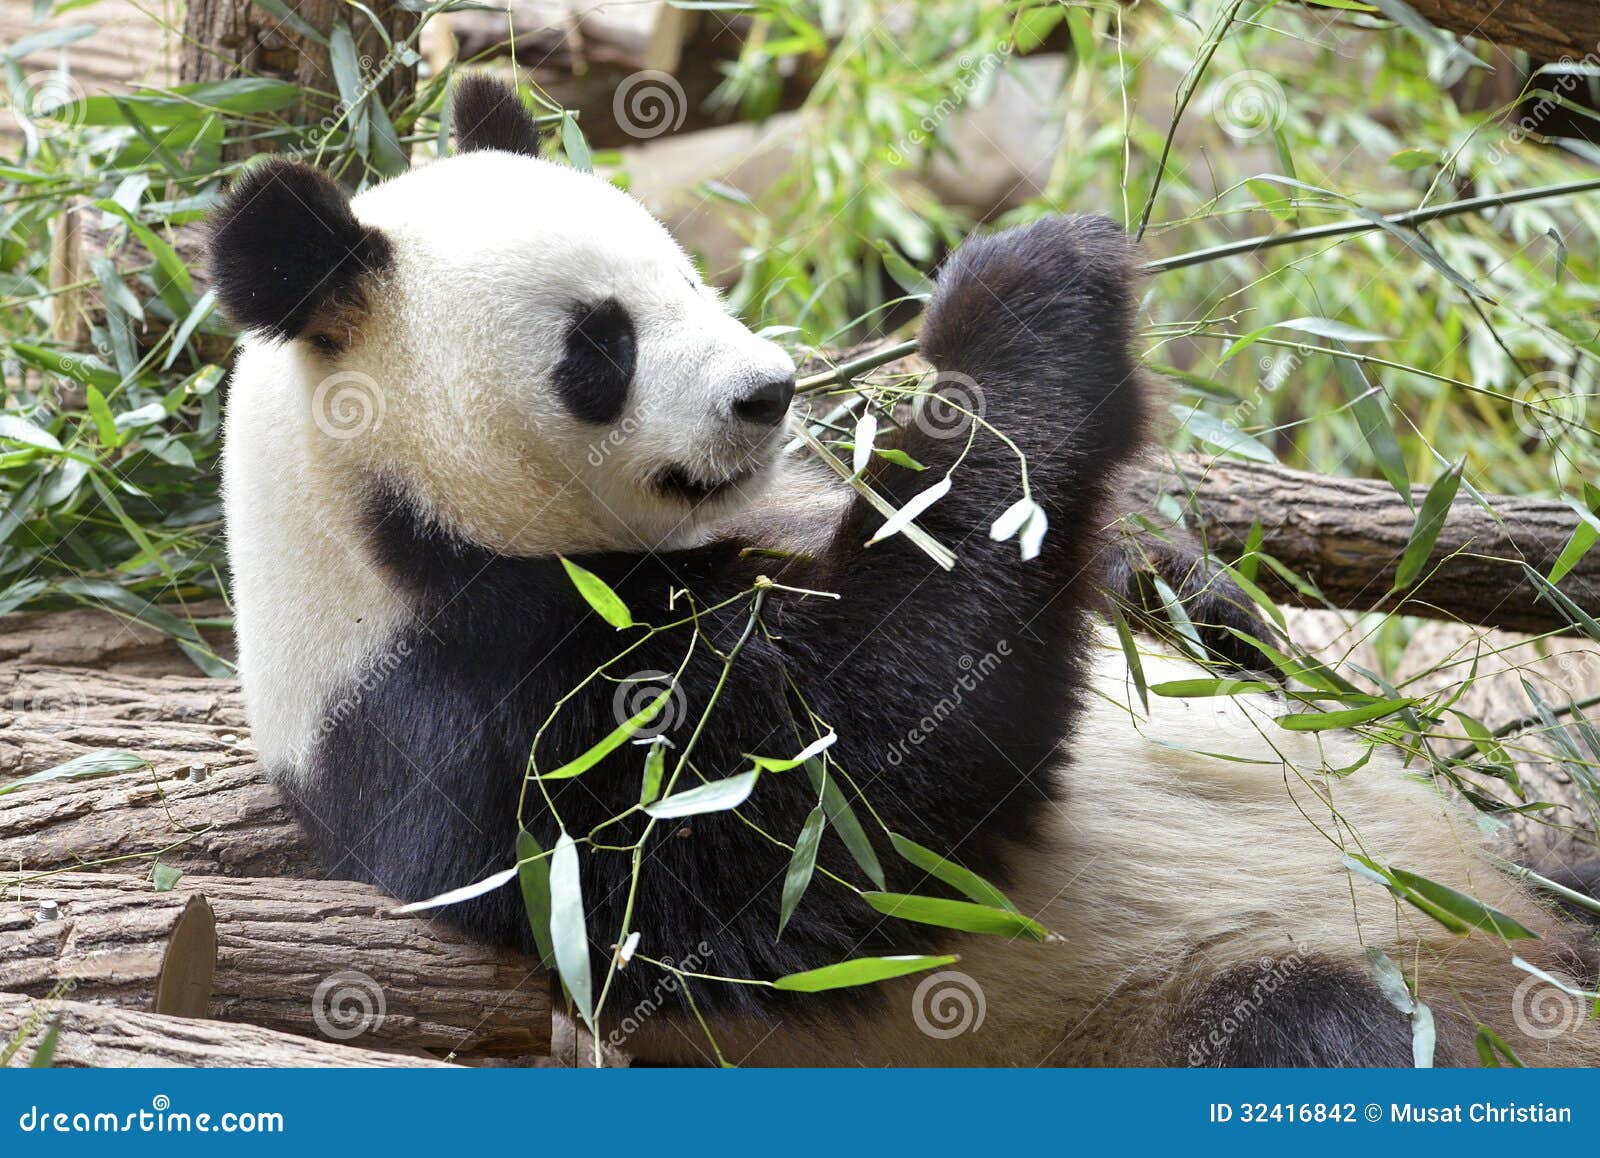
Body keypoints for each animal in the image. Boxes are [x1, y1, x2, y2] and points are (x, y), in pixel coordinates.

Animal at [209, 75, 1600, 1067]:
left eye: (688, 272)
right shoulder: (483, 723)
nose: (767, 393)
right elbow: (853, 805)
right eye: (599, 346)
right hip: (1197, 1001)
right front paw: (1020, 300)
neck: (388, 527)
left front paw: (1184, 588)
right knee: (1313, 1028)